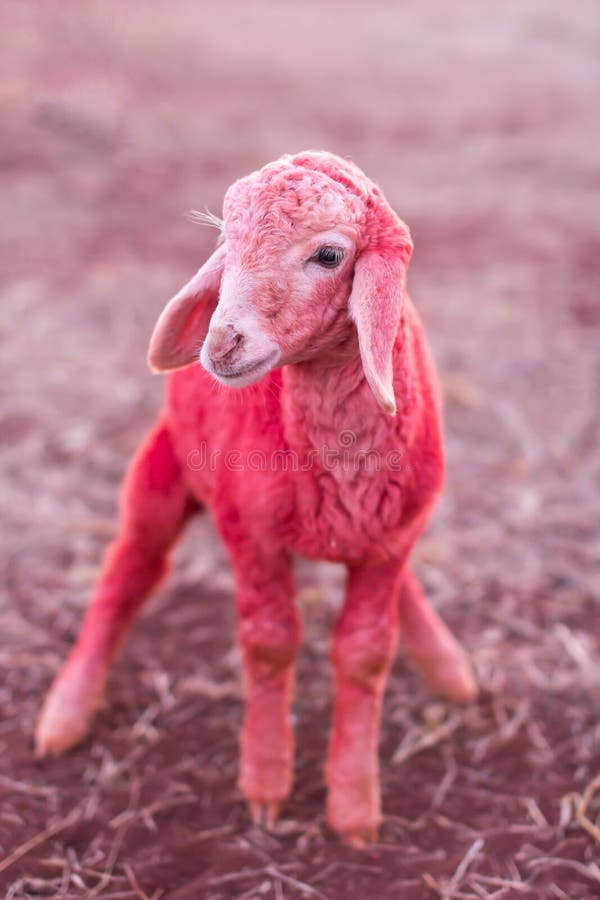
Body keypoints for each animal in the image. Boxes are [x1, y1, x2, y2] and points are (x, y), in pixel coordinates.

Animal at [35, 150, 477, 845]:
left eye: (329, 256)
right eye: (228, 242)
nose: (219, 345)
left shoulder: (389, 543)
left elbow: (365, 653)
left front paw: (354, 809)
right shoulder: (249, 531)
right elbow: (270, 641)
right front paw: (266, 786)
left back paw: (447, 665)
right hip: (163, 471)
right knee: (130, 567)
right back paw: (67, 709)